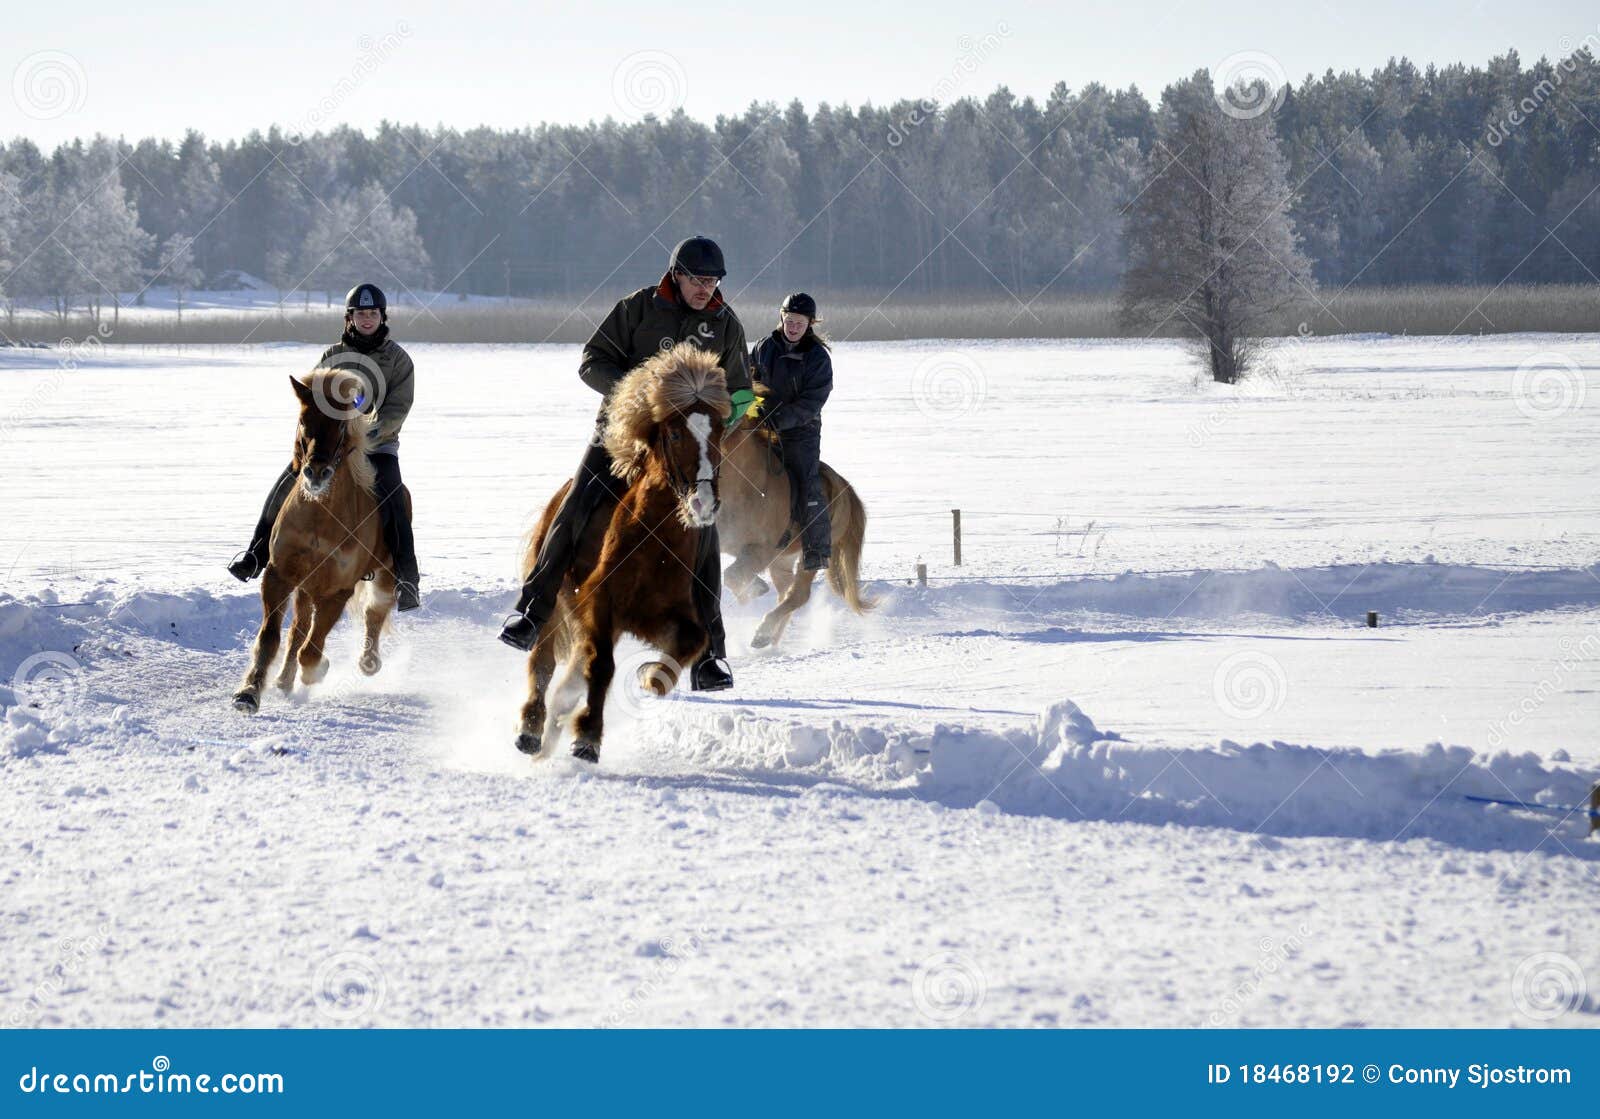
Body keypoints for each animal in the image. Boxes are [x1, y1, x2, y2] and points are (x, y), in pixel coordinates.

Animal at [715, 411, 875, 649]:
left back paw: (762, 634)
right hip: (782, 560)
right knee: (785, 593)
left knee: (799, 594)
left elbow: (732, 574)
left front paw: (753, 591)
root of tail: (844, 487)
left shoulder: (762, 550)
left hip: (810, 555)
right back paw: (769, 639)